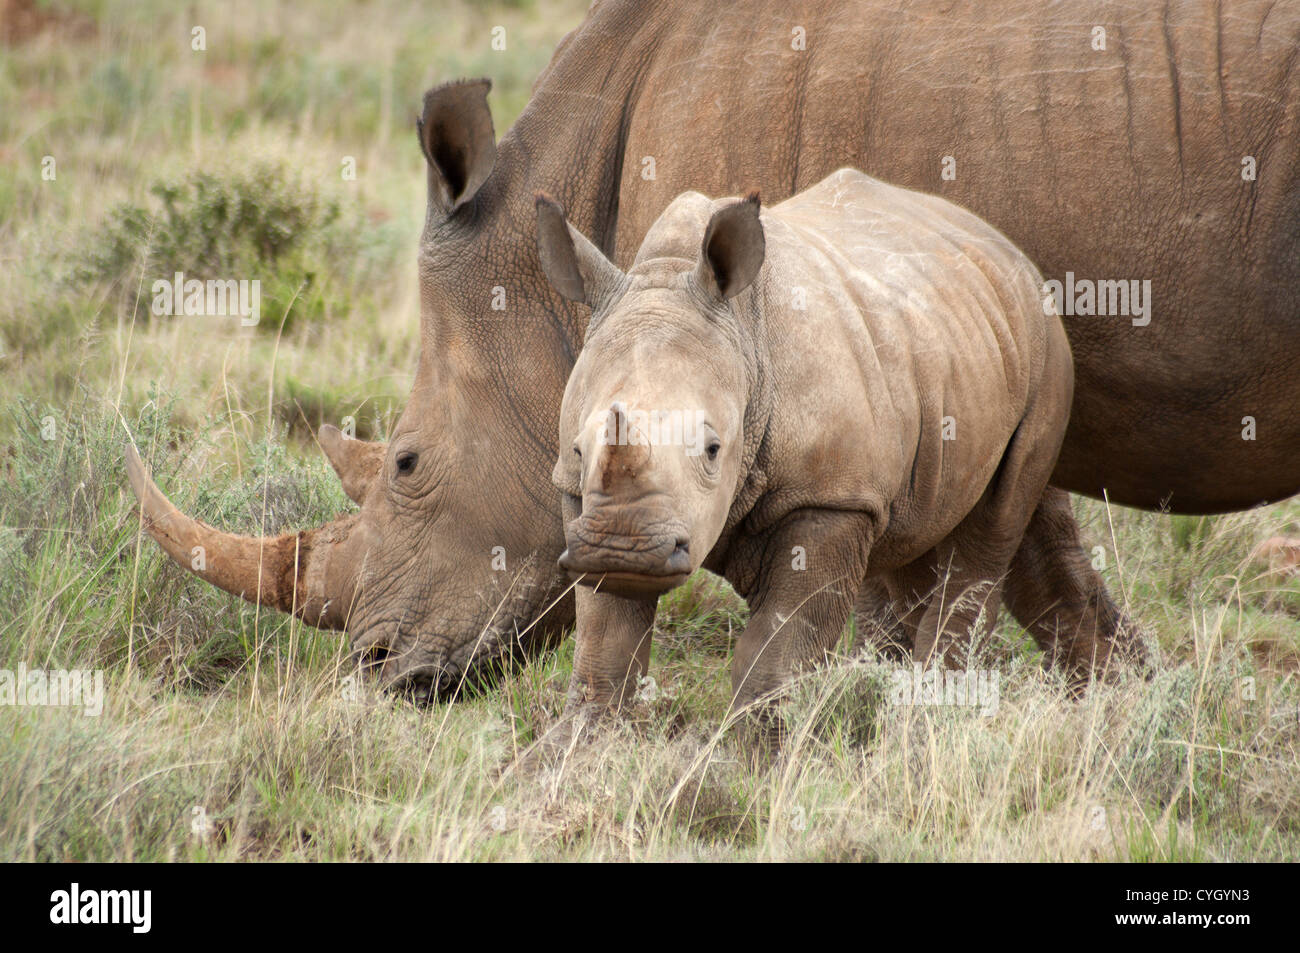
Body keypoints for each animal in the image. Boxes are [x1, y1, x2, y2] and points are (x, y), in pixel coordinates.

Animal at [539, 171, 1073, 707]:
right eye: (579, 449)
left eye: (713, 450)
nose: (620, 549)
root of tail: (1004, 245)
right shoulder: (578, 495)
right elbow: (605, 642)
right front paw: (586, 727)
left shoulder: (829, 495)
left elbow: (775, 654)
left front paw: (766, 729)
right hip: (940, 340)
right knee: (913, 532)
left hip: (1046, 347)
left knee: (992, 526)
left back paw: (937, 700)